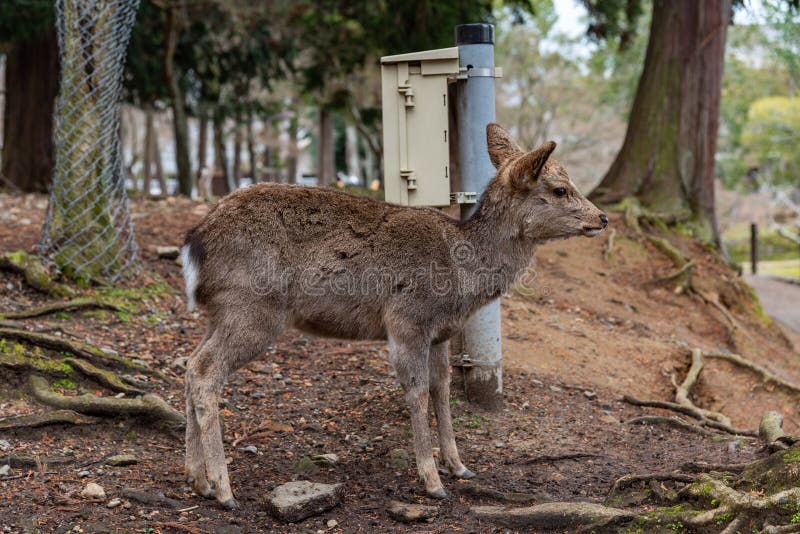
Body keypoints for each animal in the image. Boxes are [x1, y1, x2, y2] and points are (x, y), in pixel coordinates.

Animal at [180, 123, 608, 509]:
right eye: (560, 189)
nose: (602, 218)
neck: (462, 277)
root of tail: (194, 242)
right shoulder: (408, 320)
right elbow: (416, 392)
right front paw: (432, 481)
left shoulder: (441, 333)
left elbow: (441, 390)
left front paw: (459, 466)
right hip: (254, 307)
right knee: (206, 372)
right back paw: (224, 490)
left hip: (219, 311)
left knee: (190, 363)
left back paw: (198, 480)